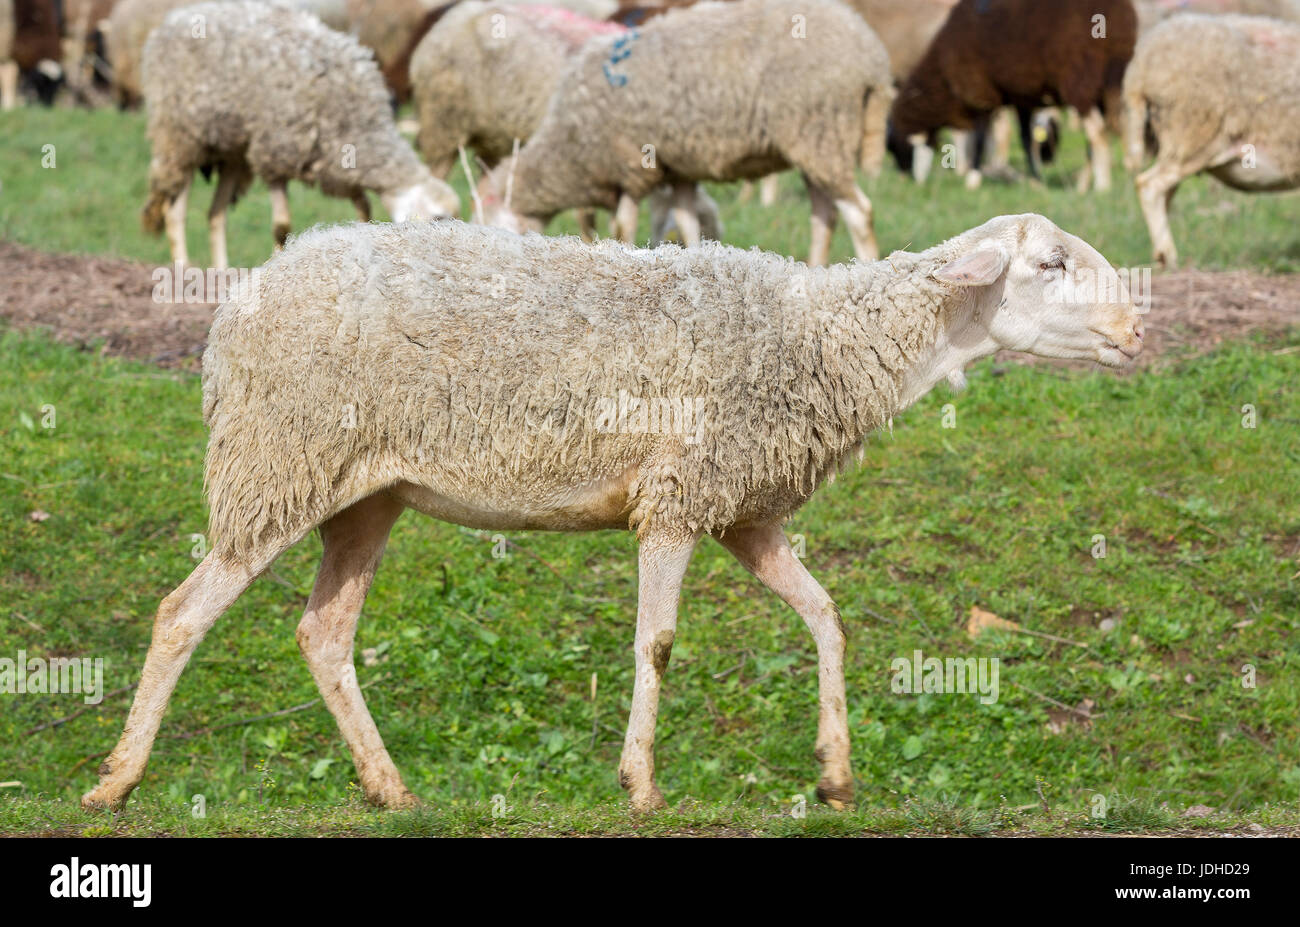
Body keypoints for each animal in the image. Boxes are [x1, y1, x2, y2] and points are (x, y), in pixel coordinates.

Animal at [79, 212, 1144, 814]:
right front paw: (640, 784)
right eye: (1051, 262)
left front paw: (837, 773)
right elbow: (658, 642)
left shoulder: (741, 508)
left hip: (365, 493)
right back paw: (117, 780)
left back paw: (390, 788)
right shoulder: (674, 498)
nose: (1141, 328)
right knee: (181, 613)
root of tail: (237, 304)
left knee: (324, 632)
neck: (826, 336)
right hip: (277, 466)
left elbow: (827, 615)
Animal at [140, 1, 459, 269]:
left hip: (231, 151)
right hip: (180, 134)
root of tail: (178, 15)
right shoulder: (275, 155)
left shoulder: (340, 169)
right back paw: (182, 266)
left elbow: (364, 212)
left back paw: (221, 270)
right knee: (175, 210)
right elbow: (281, 227)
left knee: (216, 213)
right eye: (438, 218)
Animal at [478, 0, 893, 267]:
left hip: (820, 129)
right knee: (825, 216)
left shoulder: (631, 167)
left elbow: (622, 227)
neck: (569, 148)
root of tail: (870, 54)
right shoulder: (678, 170)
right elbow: (689, 225)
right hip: (814, 143)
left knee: (860, 213)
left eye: (485, 212)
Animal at [888, 0, 1137, 192]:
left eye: (895, 146)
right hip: (1110, 82)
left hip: (1080, 79)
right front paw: (1035, 180)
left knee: (1098, 134)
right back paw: (1085, 184)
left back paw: (1102, 186)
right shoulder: (1022, 97)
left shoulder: (980, 91)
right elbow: (1027, 140)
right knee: (1104, 133)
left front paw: (973, 179)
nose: (908, 181)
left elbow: (980, 138)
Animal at [1123, 13, 1300, 267]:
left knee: (1164, 192)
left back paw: (1160, 253)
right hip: (1193, 134)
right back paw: (1168, 255)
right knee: (1149, 185)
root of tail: (1140, 67)